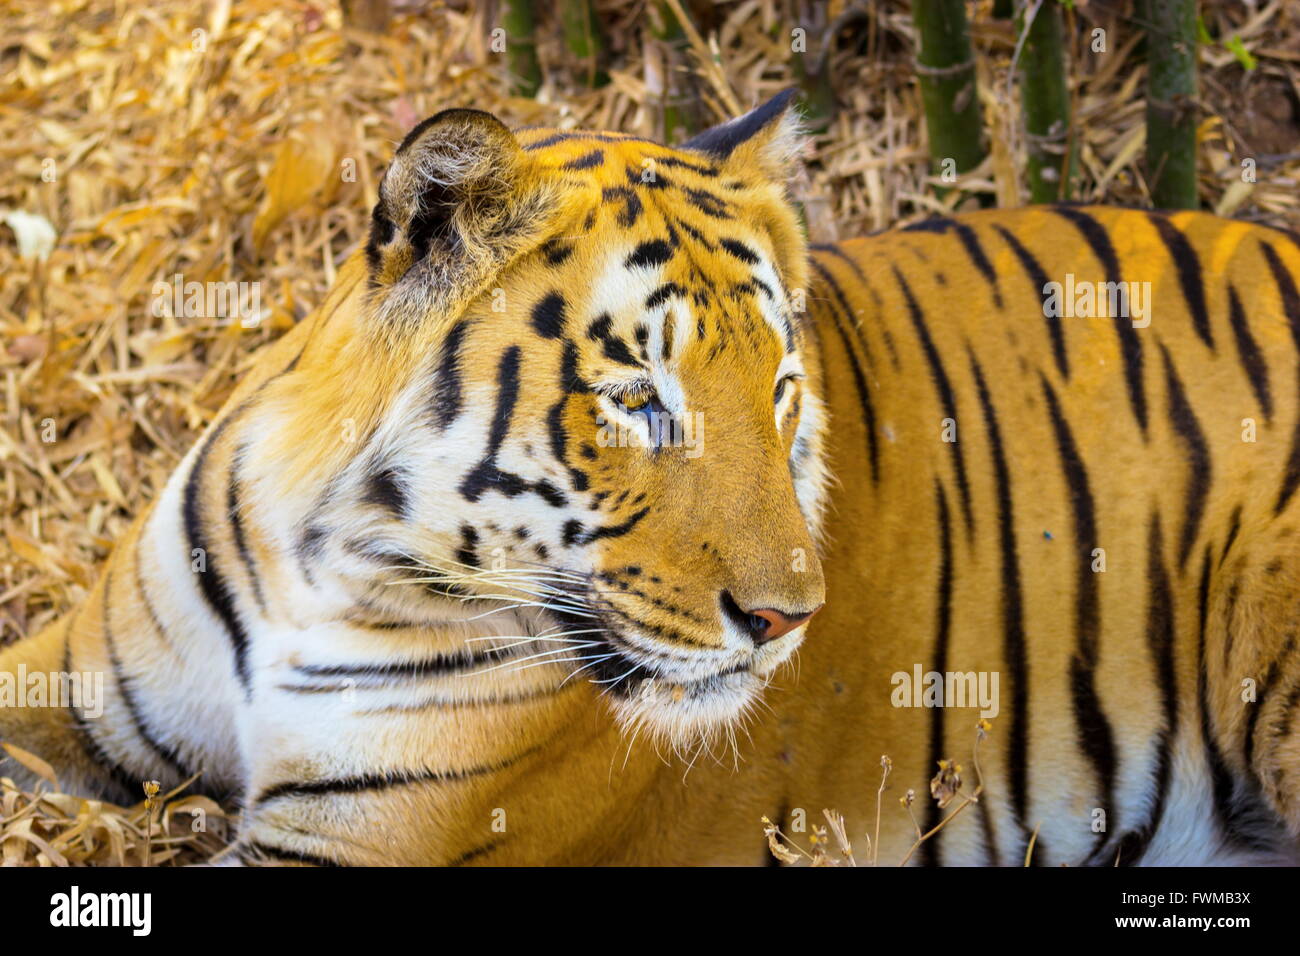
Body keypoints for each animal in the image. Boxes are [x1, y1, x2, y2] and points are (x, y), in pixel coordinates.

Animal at [4, 88, 1300, 867]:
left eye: (780, 387)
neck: (317, 556)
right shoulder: (75, 683)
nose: (788, 620)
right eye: (636, 399)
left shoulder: (365, 837)